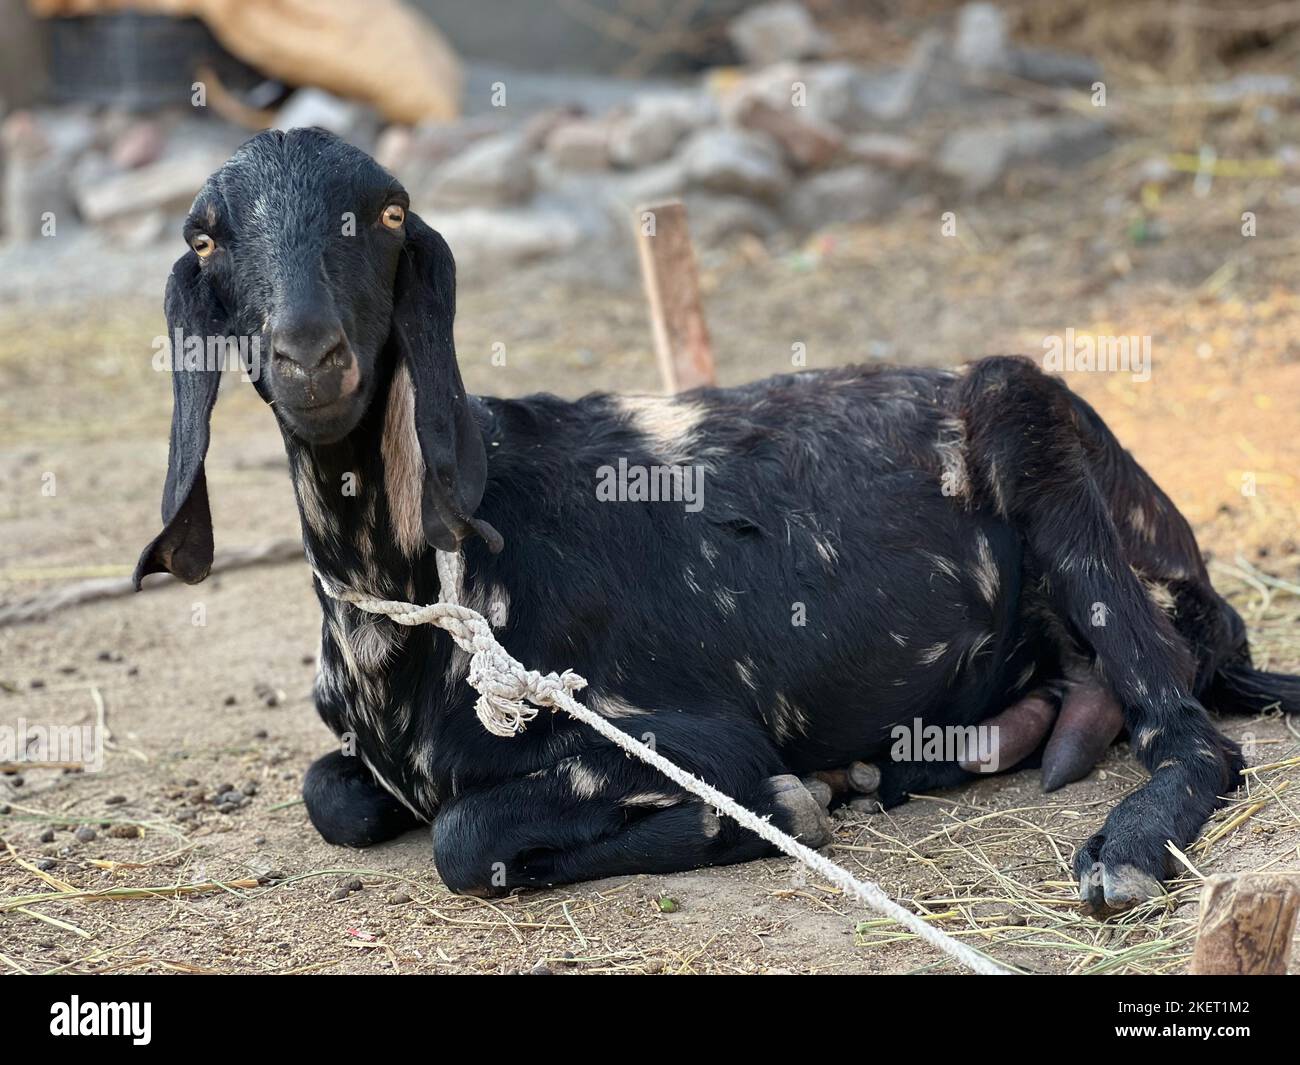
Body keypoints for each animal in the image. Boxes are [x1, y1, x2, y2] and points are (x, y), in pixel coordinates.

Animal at [135, 128, 1299, 913]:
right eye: (206, 236)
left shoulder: (685, 737)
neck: (414, 605)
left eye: (384, 216)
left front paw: (785, 806)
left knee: (1191, 735)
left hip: (1031, 427)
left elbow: (465, 835)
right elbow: (329, 792)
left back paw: (1122, 853)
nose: (309, 355)